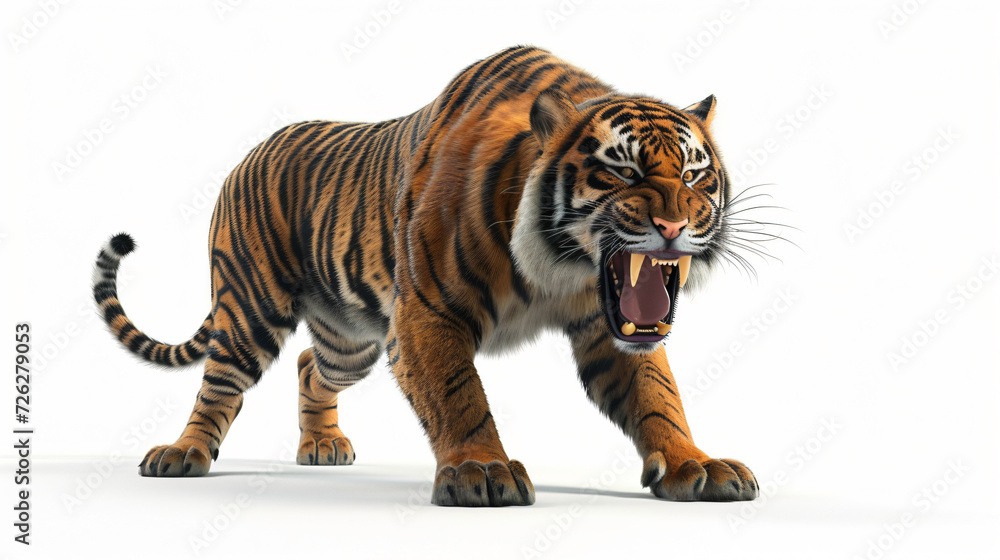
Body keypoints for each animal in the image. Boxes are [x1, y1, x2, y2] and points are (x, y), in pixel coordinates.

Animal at [93, 45, 759, 505]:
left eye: (696, 175)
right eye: (622, 173)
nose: (675, 225)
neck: (560, 270)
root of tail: (246, 155)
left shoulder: (606, 324)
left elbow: (658, 398)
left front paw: (695, 465)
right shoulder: (425, 316)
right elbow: (459, 395)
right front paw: (482, 470)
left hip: (349, 342)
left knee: (310, 365)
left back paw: (321, 447)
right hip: (250, 312)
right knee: (219, 385)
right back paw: (182, 454)